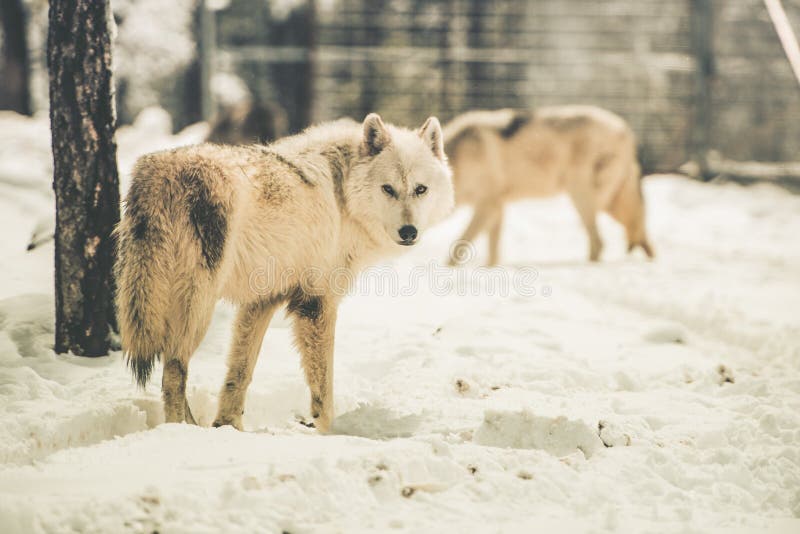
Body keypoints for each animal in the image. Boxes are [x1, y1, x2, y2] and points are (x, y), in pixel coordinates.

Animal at [115, 115, 454, 434]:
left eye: (420, 189)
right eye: (388, 189)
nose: (409, 232)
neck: (343, 196)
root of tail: (159, 173)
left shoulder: (263, 299)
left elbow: (240, 372)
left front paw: (228, 426)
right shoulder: (317, 303)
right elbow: (323, 386)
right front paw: (328, 432)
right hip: (198, 306)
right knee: (174, 369)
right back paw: (177, 431)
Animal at [444, 105, 656, 264]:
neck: (458, 161)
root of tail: (625, 129)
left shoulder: (487, 206)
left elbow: (459, 247)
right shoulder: (497, 208)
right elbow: (493, 254)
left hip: (586, 198)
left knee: (600, 242)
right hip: (609, 203)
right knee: (636, 230)